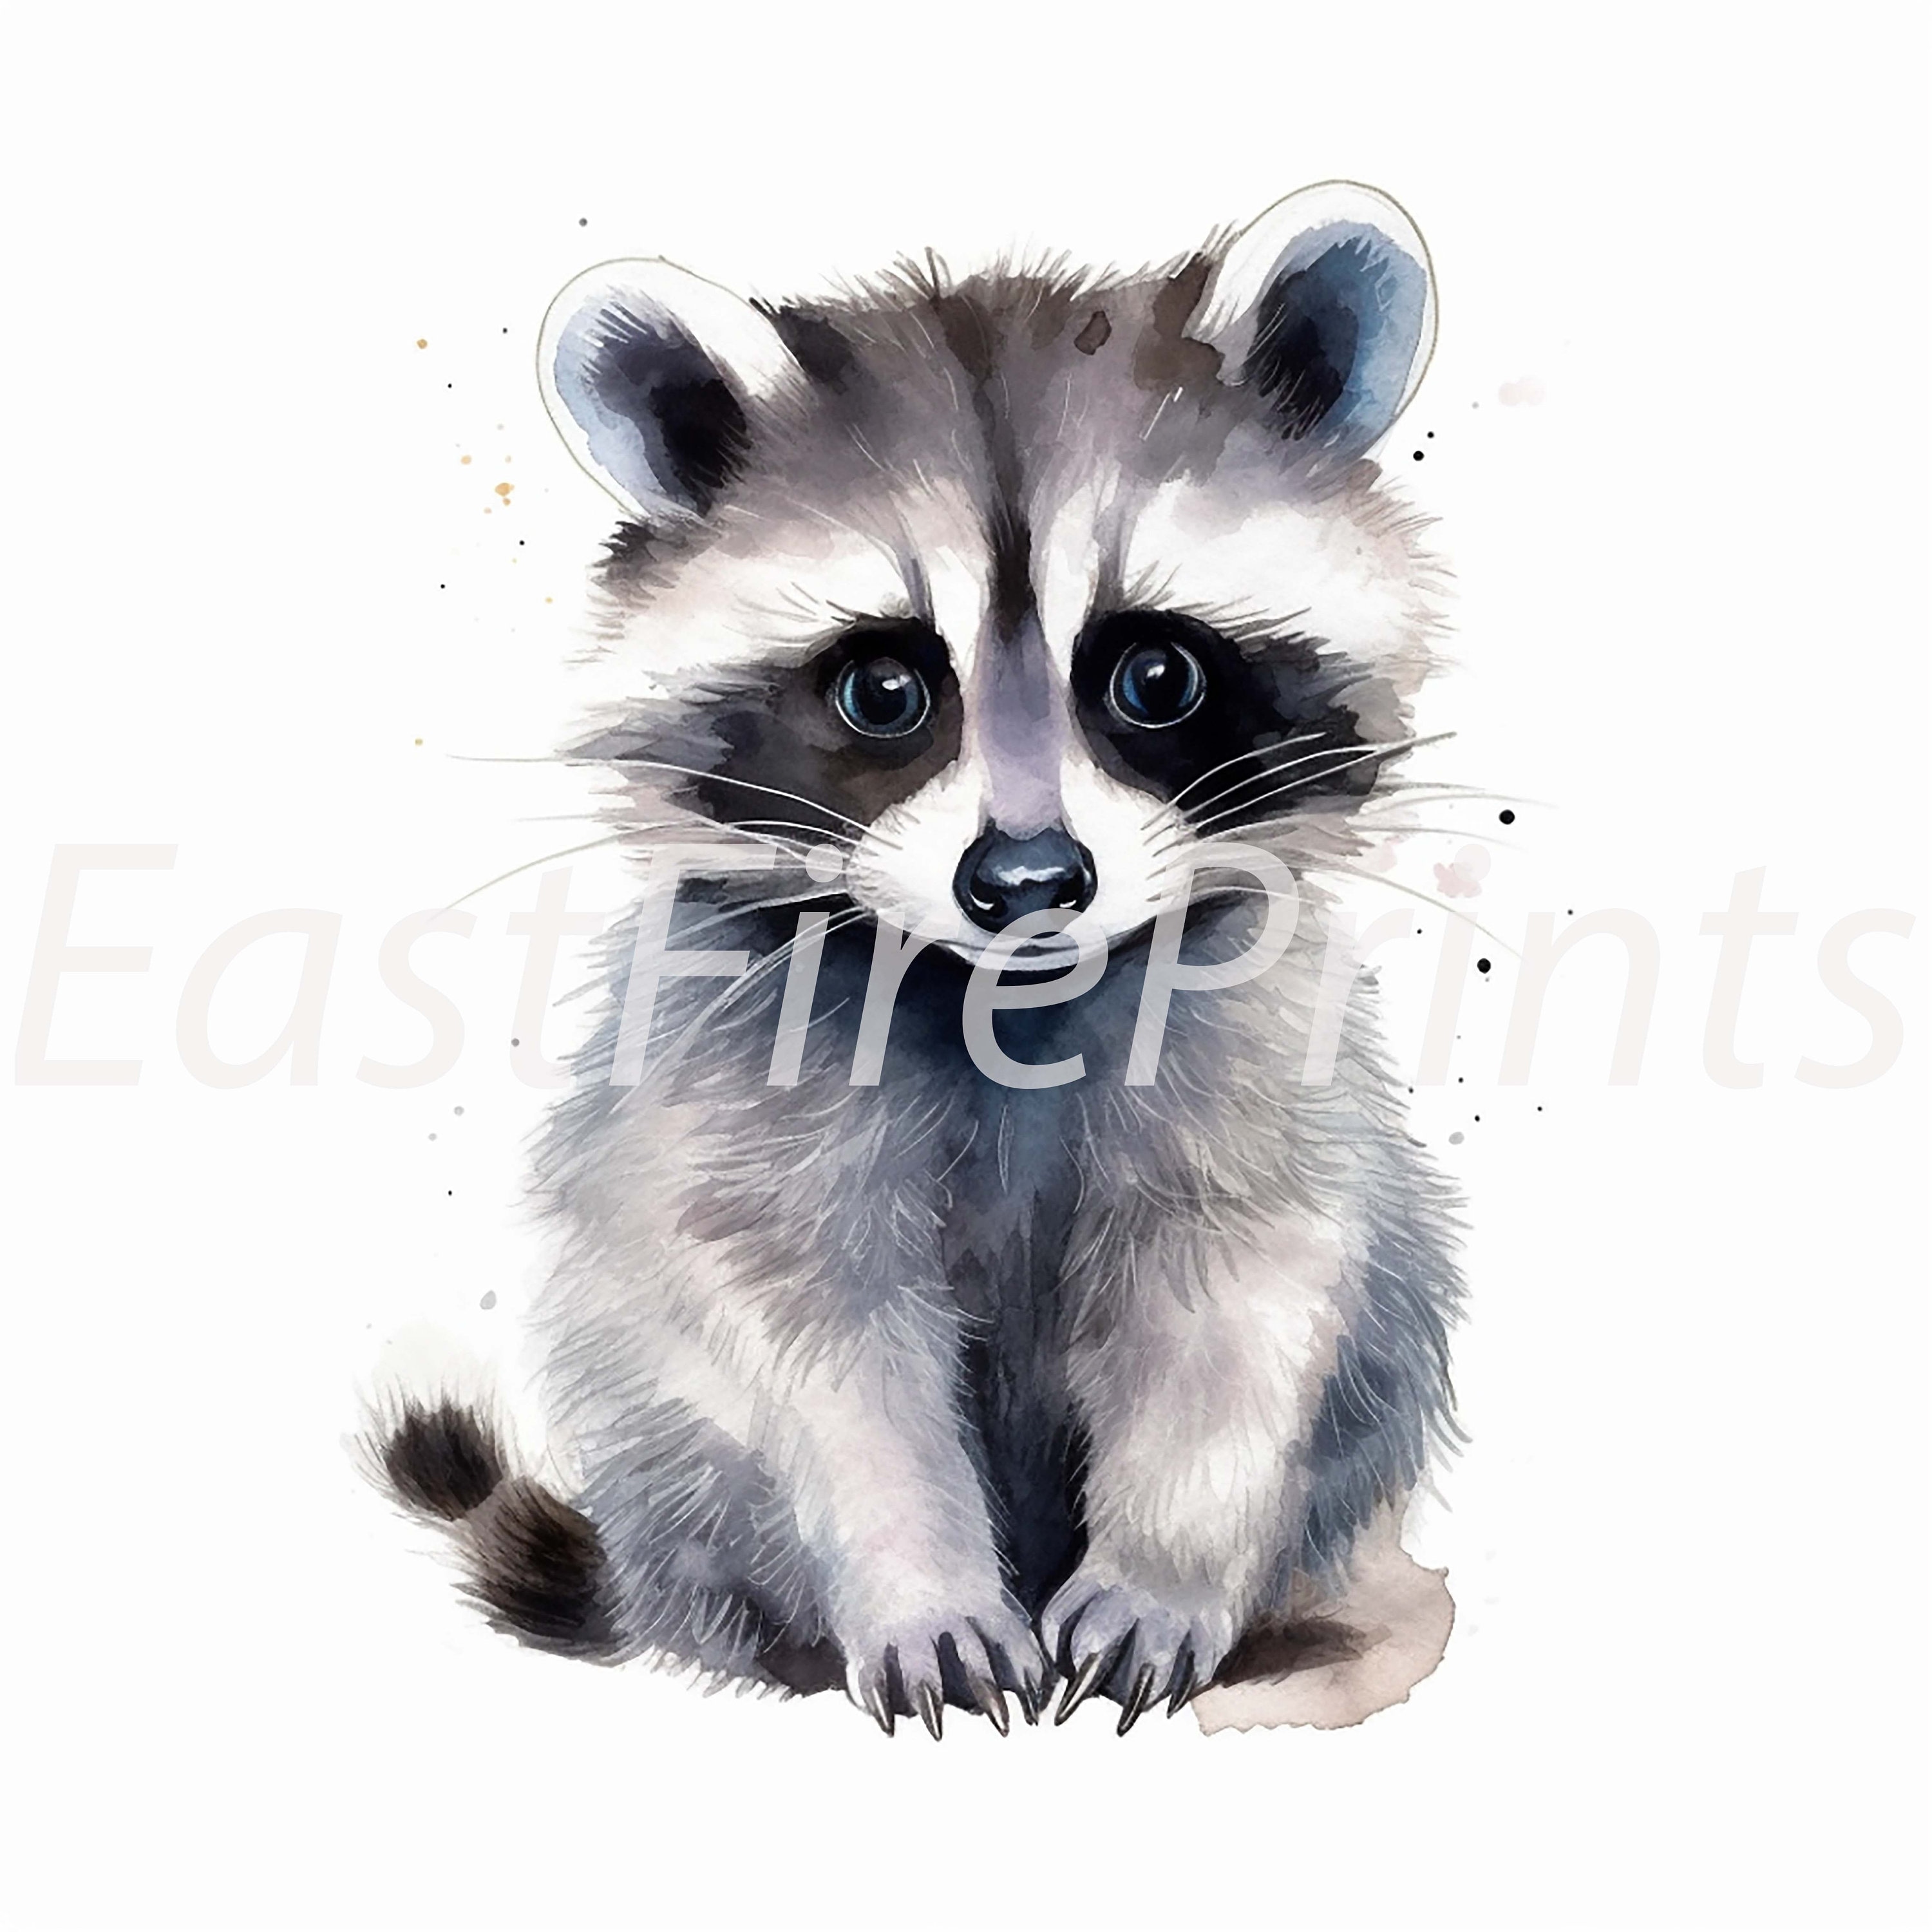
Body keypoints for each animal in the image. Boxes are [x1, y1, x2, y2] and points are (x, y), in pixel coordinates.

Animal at [377, 182, 1464, 1737]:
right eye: (886, 689)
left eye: (1156, 676)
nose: (1027, 883)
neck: (1010, 992)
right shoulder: (744, 1078)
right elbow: (820, 1341)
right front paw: (921, 1587)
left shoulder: (1253, 1046)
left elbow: (1242, 1288)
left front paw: (1160, 1571)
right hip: (653, 1430)